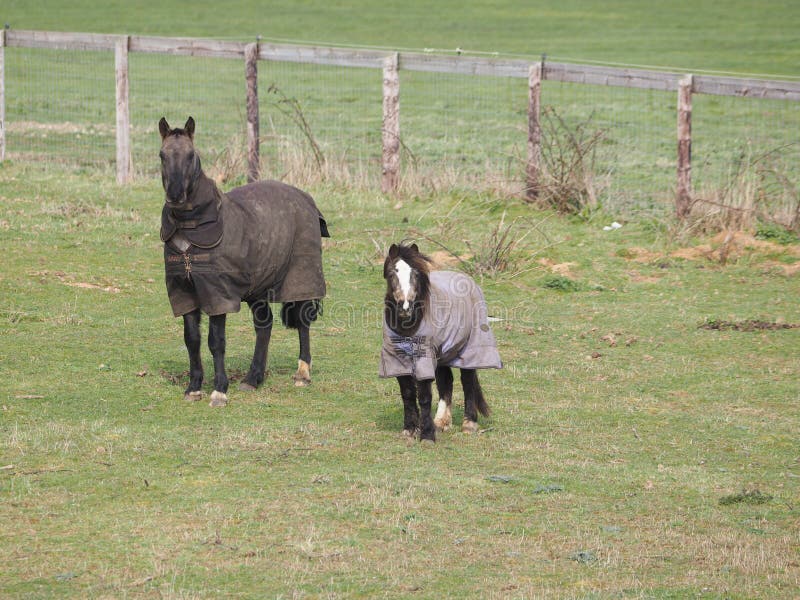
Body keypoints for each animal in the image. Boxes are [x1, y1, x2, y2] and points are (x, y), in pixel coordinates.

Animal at [158, 117, 329, 407]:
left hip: (302, 277)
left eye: (191, 155)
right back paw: (253, 378)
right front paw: (193, 388)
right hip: (257, 287)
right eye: (162, 155)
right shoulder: (183, 291)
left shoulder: (218, 294)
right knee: (265, 325)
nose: (176, 195)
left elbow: (215, 341)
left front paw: (219, 391)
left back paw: (302, 373)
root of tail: (306, 198)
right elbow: (192, 339)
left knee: (303, 321)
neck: (191, 228)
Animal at [379, 242, 502, 441]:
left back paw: (469, 424)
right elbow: (408, 394)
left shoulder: (424, 358)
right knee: (446, 382)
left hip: (469, 349)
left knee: (467, 382)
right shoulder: (396, 359)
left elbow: (424, 396)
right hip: (443, 352)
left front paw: (427, 435)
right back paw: (441, 422)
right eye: (392, 273)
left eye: (416, 275)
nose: (405, 308)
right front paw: (410, 429)